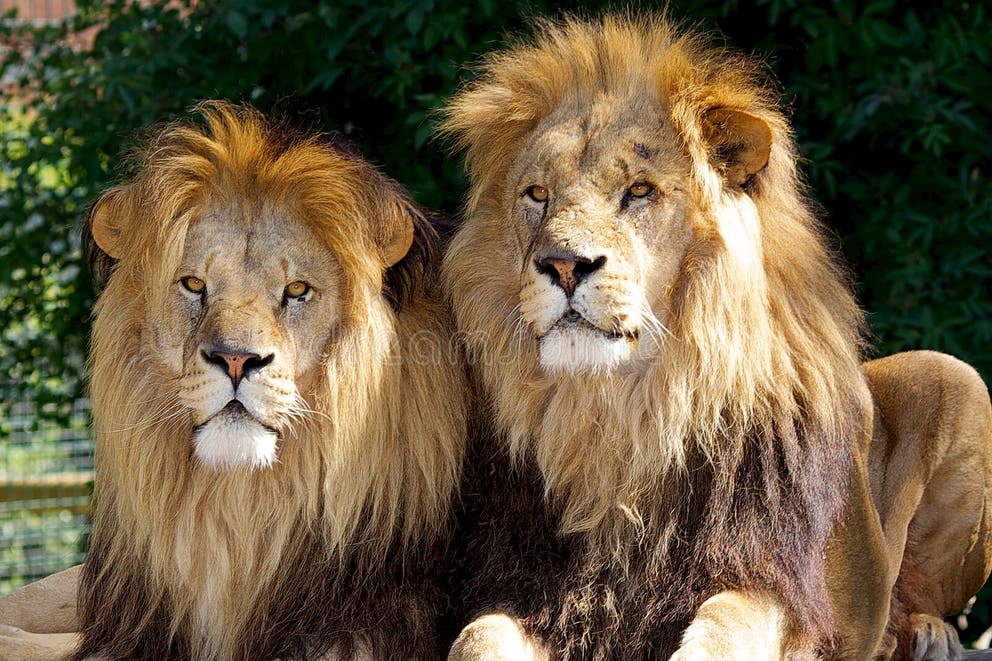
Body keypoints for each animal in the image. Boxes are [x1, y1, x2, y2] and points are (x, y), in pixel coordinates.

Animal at [439, 14, 992, 660]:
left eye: (640, 191)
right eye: (537, 194)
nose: (565, 265)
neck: (623, 412)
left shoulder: (776, 578)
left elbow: (726, 625)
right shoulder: (528, 585)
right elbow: (476, 639)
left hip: (956, 378)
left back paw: (928, 634)